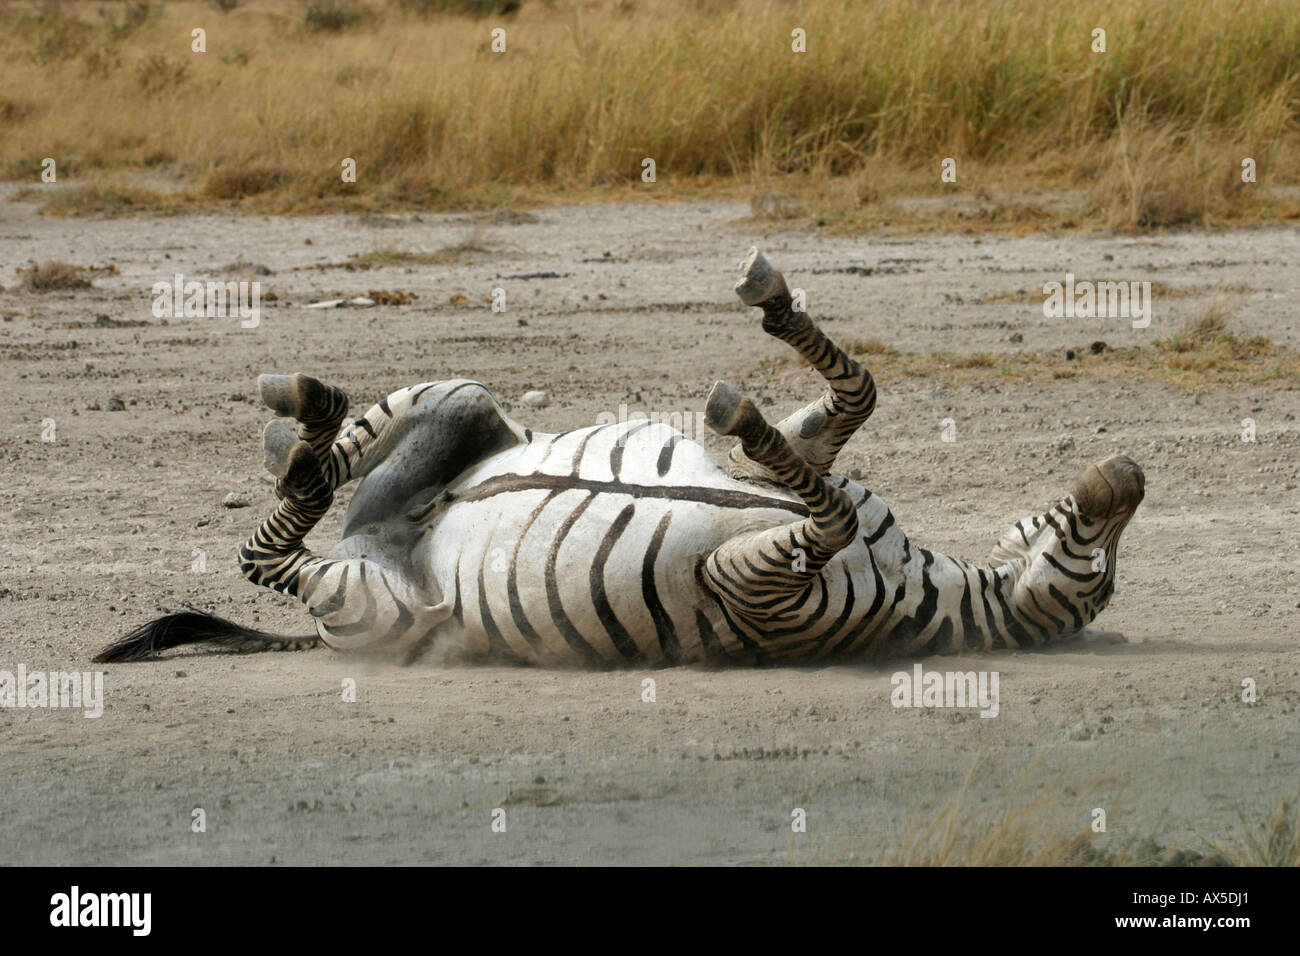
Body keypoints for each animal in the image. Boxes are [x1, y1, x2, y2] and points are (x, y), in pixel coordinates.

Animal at [94, 248, 1145, 667]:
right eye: (1088, 545)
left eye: (1100, 575)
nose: (1130, 475)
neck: (934, 592)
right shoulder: (826, 479)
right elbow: (854, 400)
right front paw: (772, 309)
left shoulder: (757, 589)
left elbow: (825, 497)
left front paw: (743, 414)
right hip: (461, 403)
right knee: (337, 465)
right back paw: (296, 420)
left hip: (375, 603)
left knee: (270, 549)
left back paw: (301, 438)